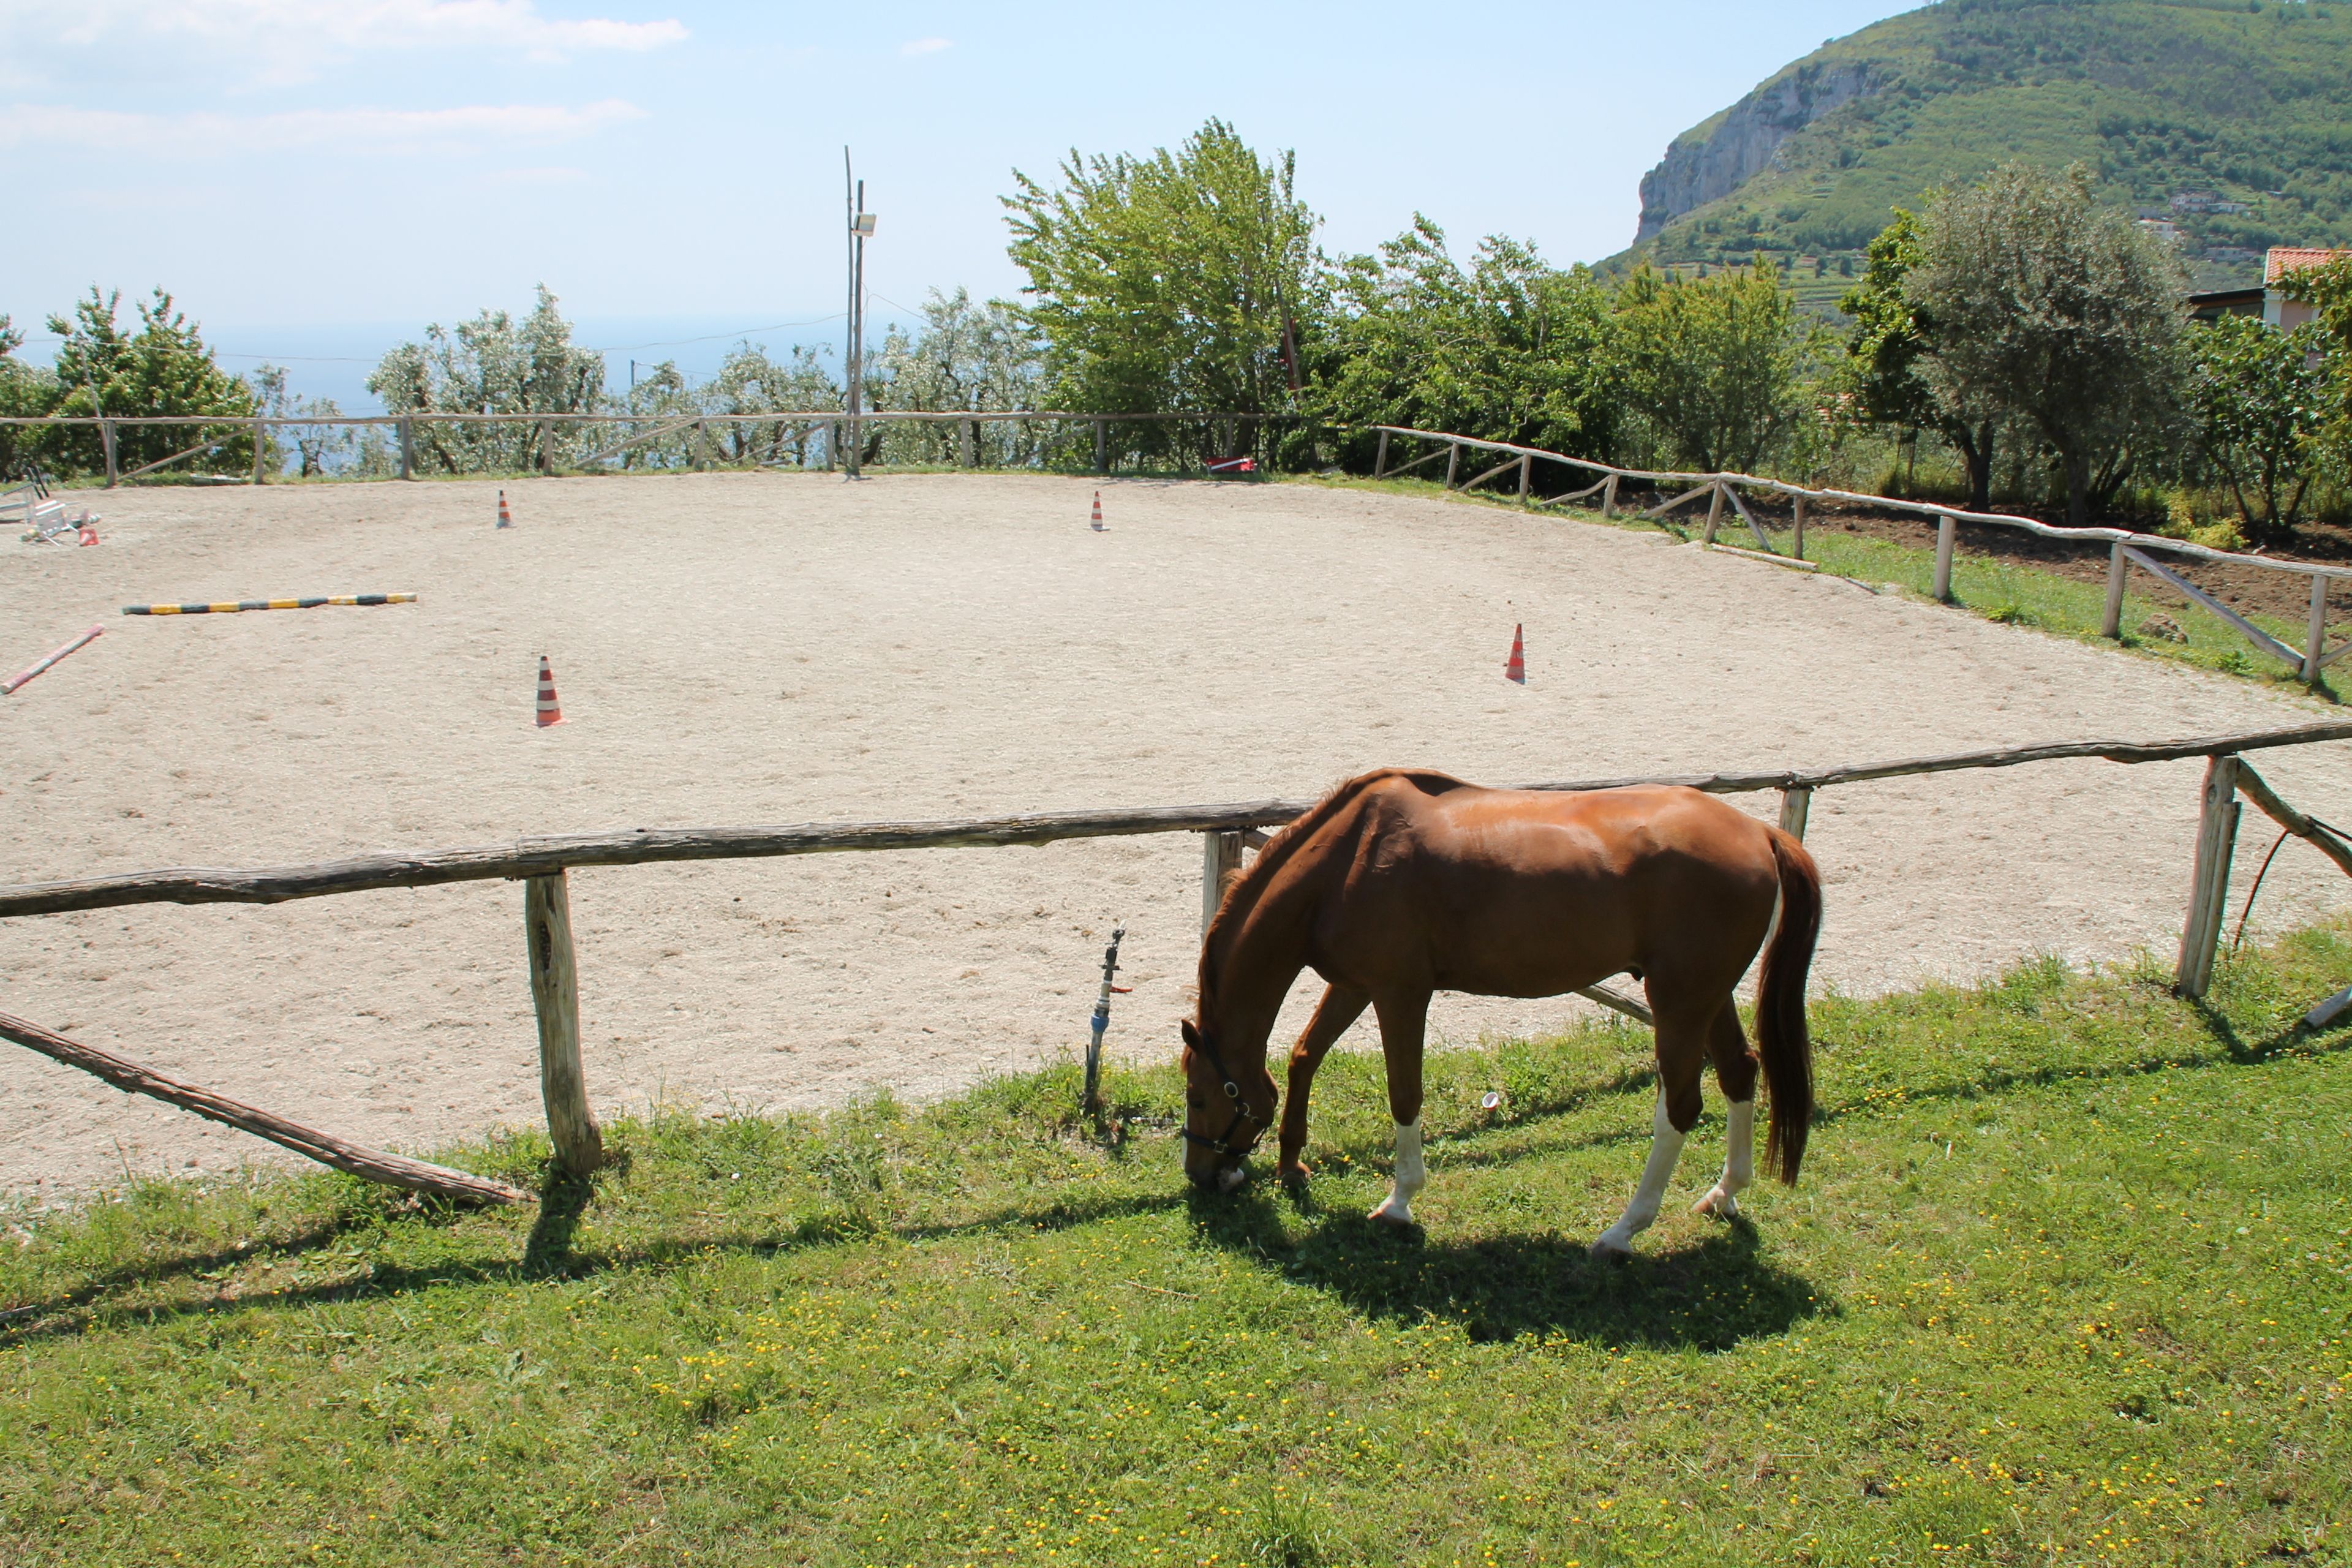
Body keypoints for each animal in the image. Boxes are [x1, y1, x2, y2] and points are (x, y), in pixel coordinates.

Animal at [1178, 767, 1822, 1255]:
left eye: (1199, 1098)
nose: (1200, 1175)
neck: (1348, 859)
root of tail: (1762, 833)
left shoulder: (1399, 993)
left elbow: (1404, 1096)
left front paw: (1399, 1201)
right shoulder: (1353, 984)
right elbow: (1305, 1055)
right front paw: (1292, 1163)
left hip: (1680, 1001)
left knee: (1681, 1108)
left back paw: (1622, 1232)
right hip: (1707, 997)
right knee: (1740, 1071)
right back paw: (1724, 1194)